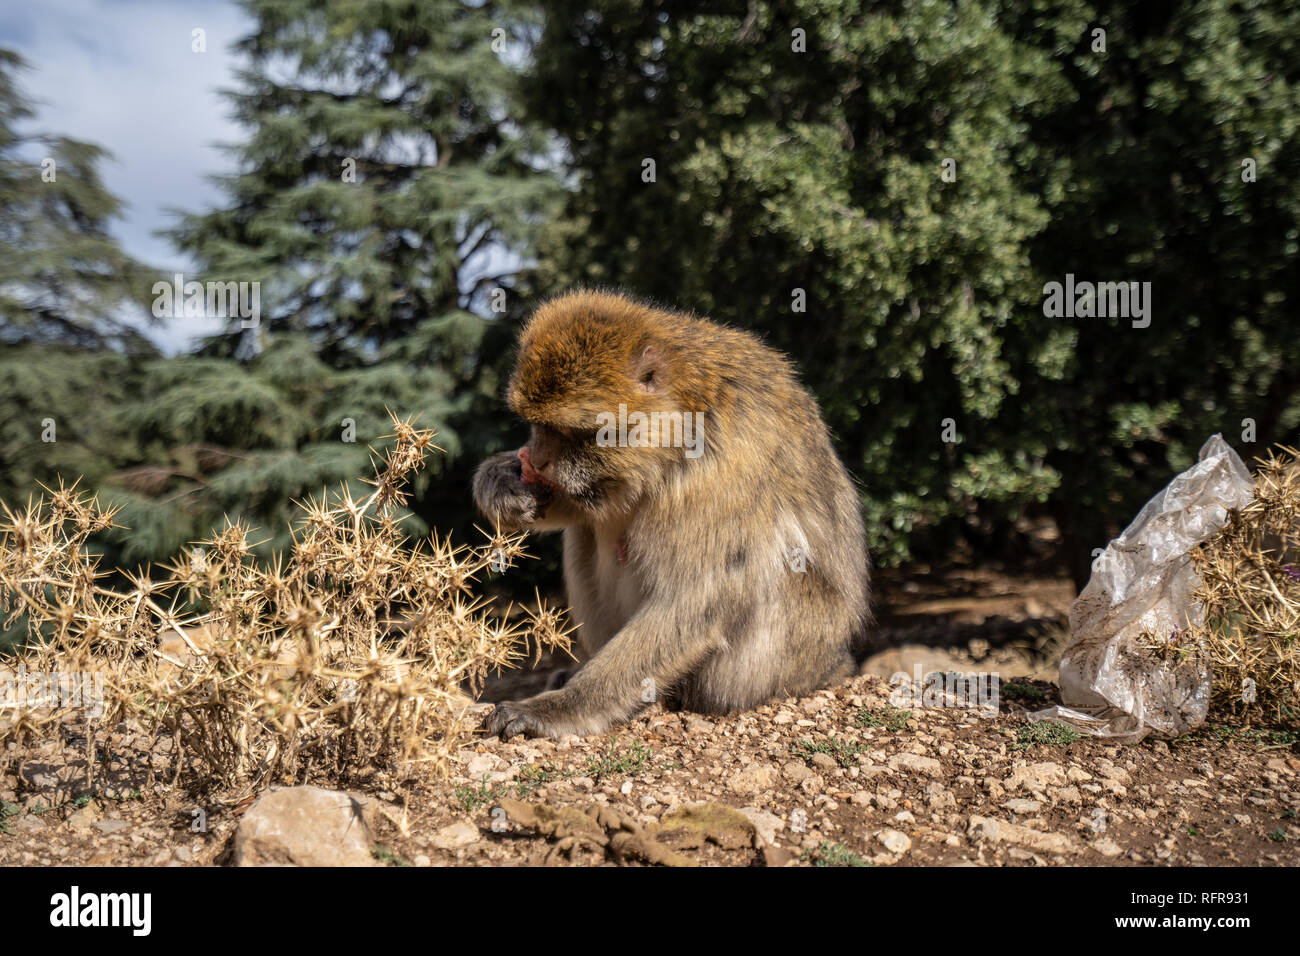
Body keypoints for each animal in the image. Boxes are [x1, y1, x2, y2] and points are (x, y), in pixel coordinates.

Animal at [473, 290, 870, 738]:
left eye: (566, 431)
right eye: (537, 425)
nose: (536, 460)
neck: (680, 422)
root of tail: (830, 663)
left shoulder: (721, 470)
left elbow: (694, 600)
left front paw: (560, 708)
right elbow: (589, 505)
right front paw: (501, 485)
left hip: (779, 663)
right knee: (589, 531)